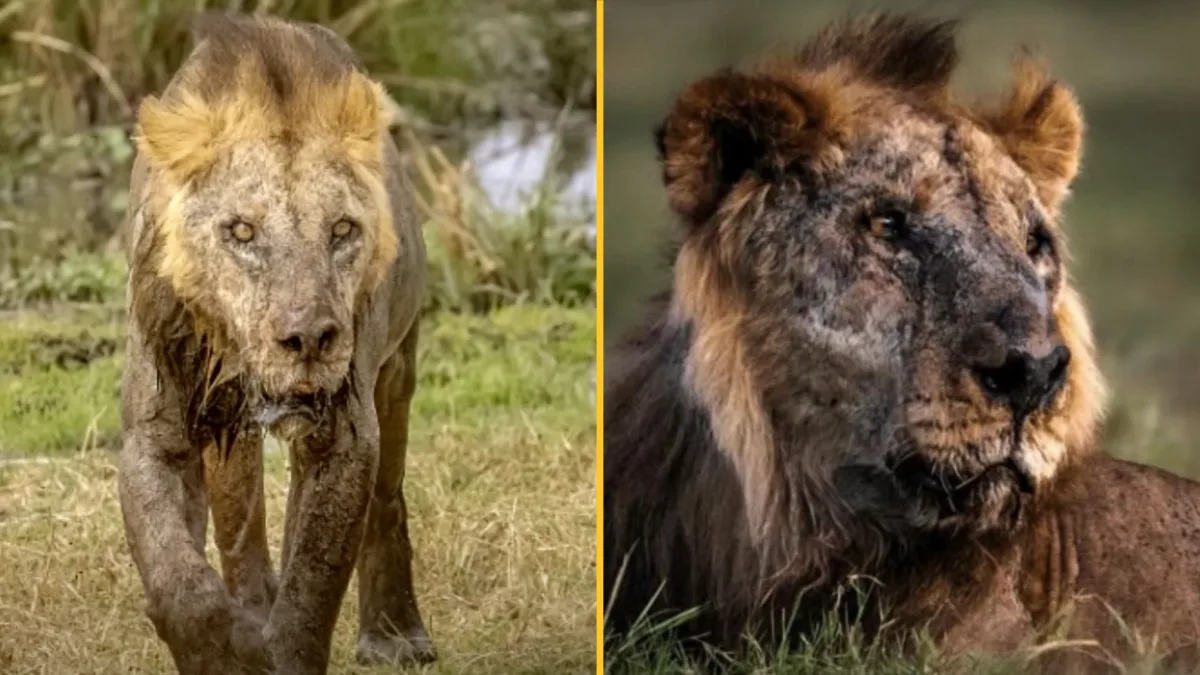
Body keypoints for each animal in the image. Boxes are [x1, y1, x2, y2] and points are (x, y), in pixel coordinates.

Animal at [117, 14, 432, 675]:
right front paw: (224, 649)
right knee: (241, 521)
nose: (308, 339)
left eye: (342, 230)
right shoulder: (155, 431)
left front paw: (279, 647)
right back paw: (253, 603)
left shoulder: (343, 433)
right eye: (241, 231)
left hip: (397, 370)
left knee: (387, 501)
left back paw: (393, 634)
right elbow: (176, 577)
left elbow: (312, 583)